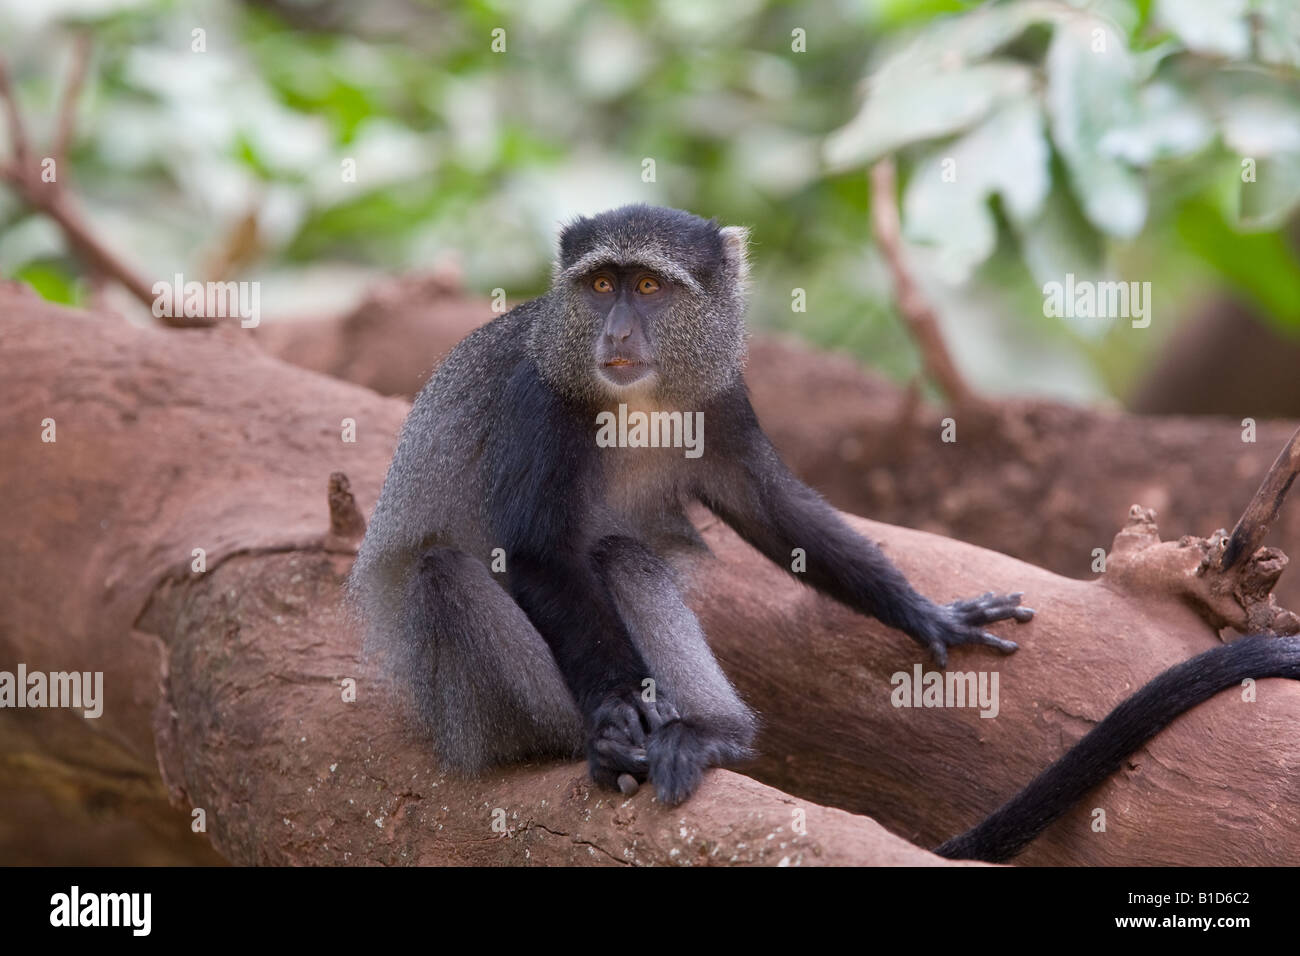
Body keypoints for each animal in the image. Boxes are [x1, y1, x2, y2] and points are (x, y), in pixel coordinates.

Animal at [350, 203, 1300, 862]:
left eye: (648, 287)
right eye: (597, 285)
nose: (615, 330)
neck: (637, 397)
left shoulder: (723, 400)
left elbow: (779, 512)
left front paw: (932, 616)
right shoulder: (537, 403)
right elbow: (539, 556)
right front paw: (618, 719)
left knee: (623, 554)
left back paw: (714, 732)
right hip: (497, 715)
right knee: (447, 576)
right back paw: (616, 741)